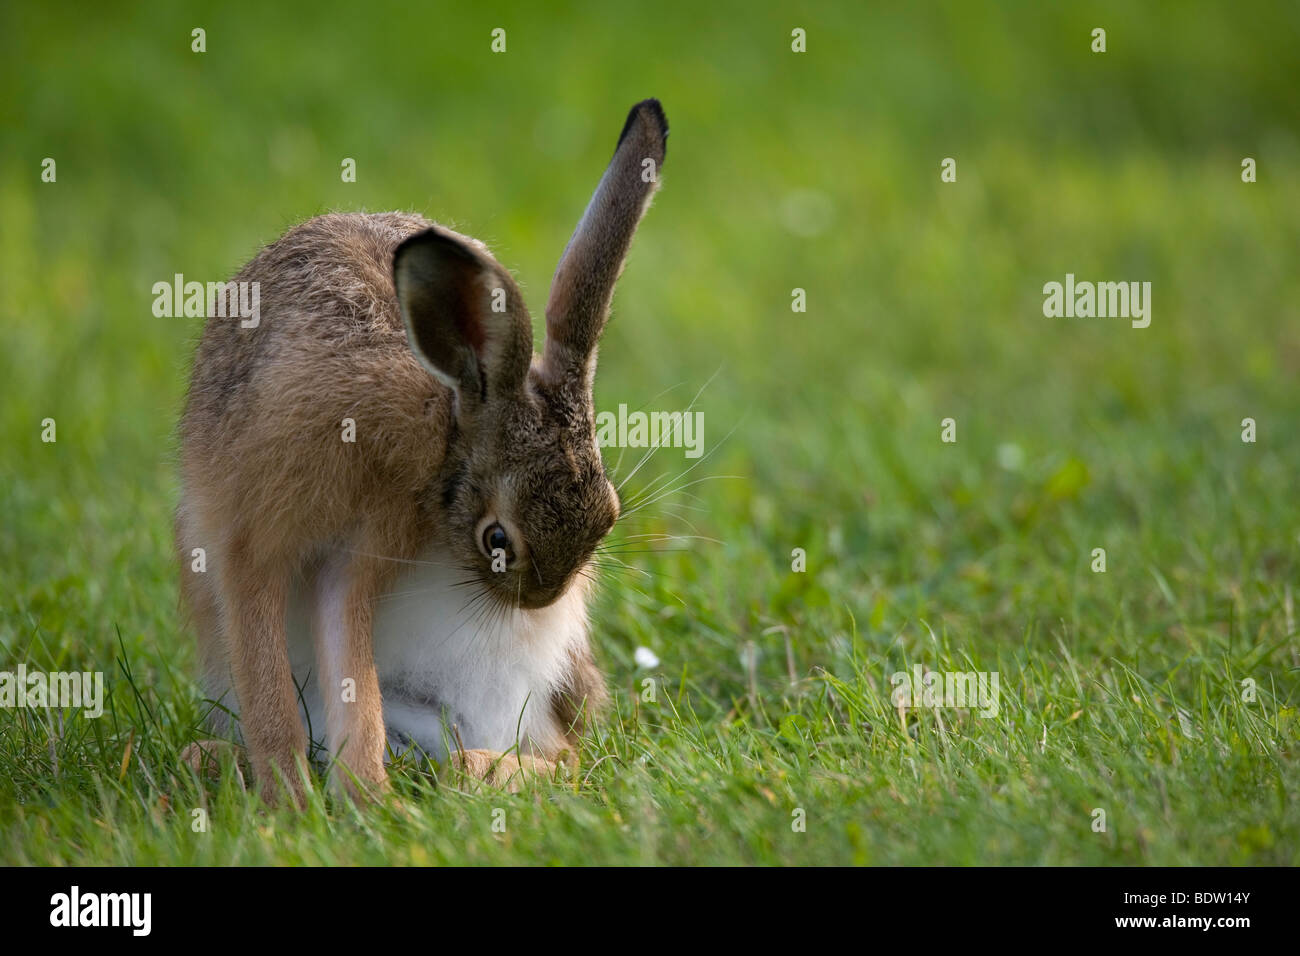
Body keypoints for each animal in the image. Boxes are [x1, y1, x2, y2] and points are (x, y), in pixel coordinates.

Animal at [175, 99, 668, 803]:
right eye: (497, 540)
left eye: (611, 515)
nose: (539, 601)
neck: (448, 413)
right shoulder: (253, 540)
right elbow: (270, 679)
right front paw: (292, 800)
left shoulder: (368, 544)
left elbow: (351, 665)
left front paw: (366, 801)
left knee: (562, 758)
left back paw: (471, 770)